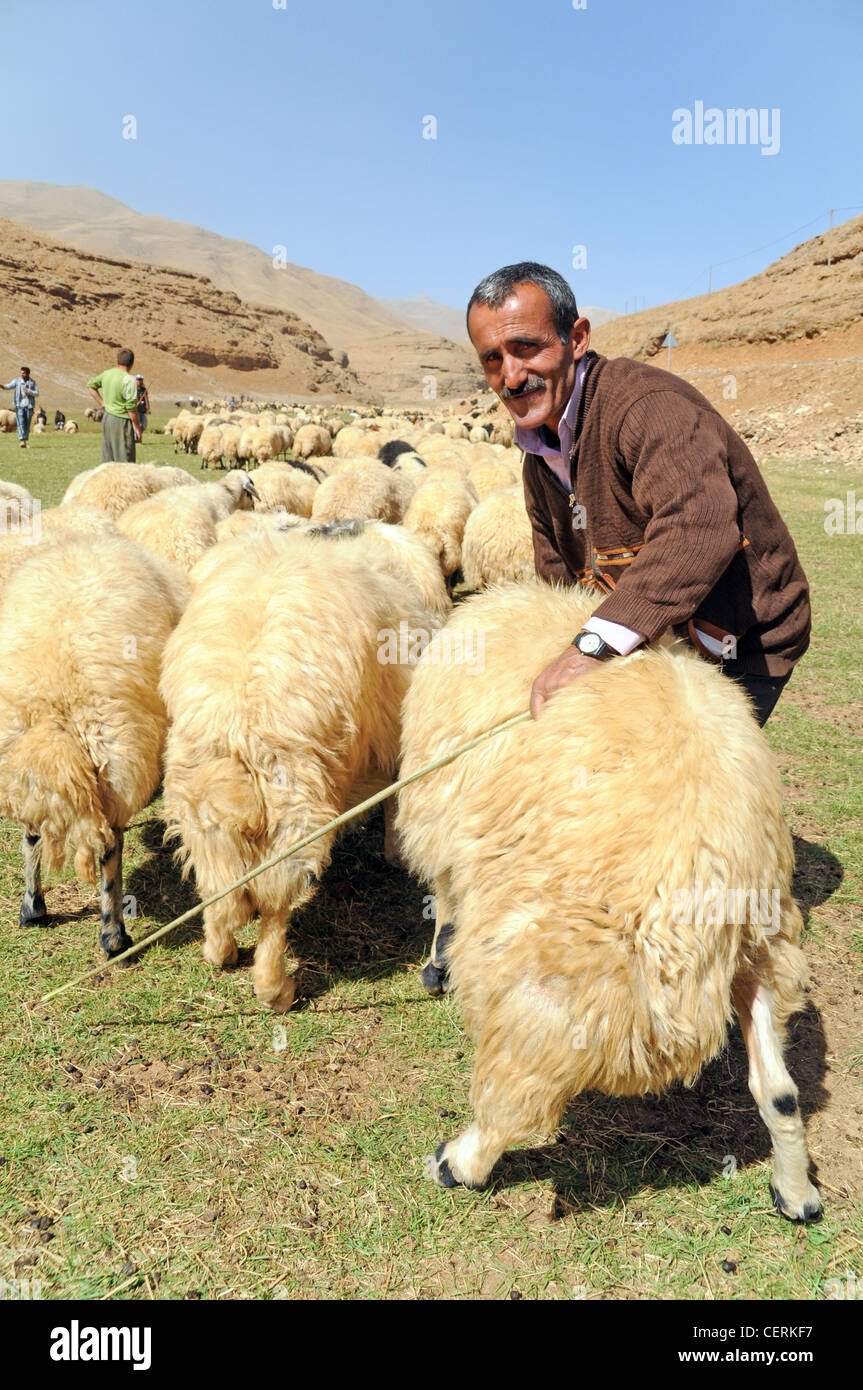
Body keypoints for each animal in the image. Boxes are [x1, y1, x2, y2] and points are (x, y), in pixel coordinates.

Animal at [0, 532, 187, 959]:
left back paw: (33, 908)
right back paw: (114, 935)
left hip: (25, 762)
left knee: (32, 832)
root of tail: (59, 702)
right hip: (115, 760)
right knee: (108, 849)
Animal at [160, 527, 440, 1011]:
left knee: (220, 890)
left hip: (205, 812)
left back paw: (220, 950)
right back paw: (275, 988)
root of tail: (241, 722)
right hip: (294, 806)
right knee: (274, 903)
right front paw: (396, 853)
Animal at [396, 580, 823, 1222]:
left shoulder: (446, 811)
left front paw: (437, 965)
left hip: (557, 975)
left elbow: (444, 900)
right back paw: (796, 1191)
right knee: (780, 1091)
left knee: (516, 1089)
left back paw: (461, 1163)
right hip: (765, 948)